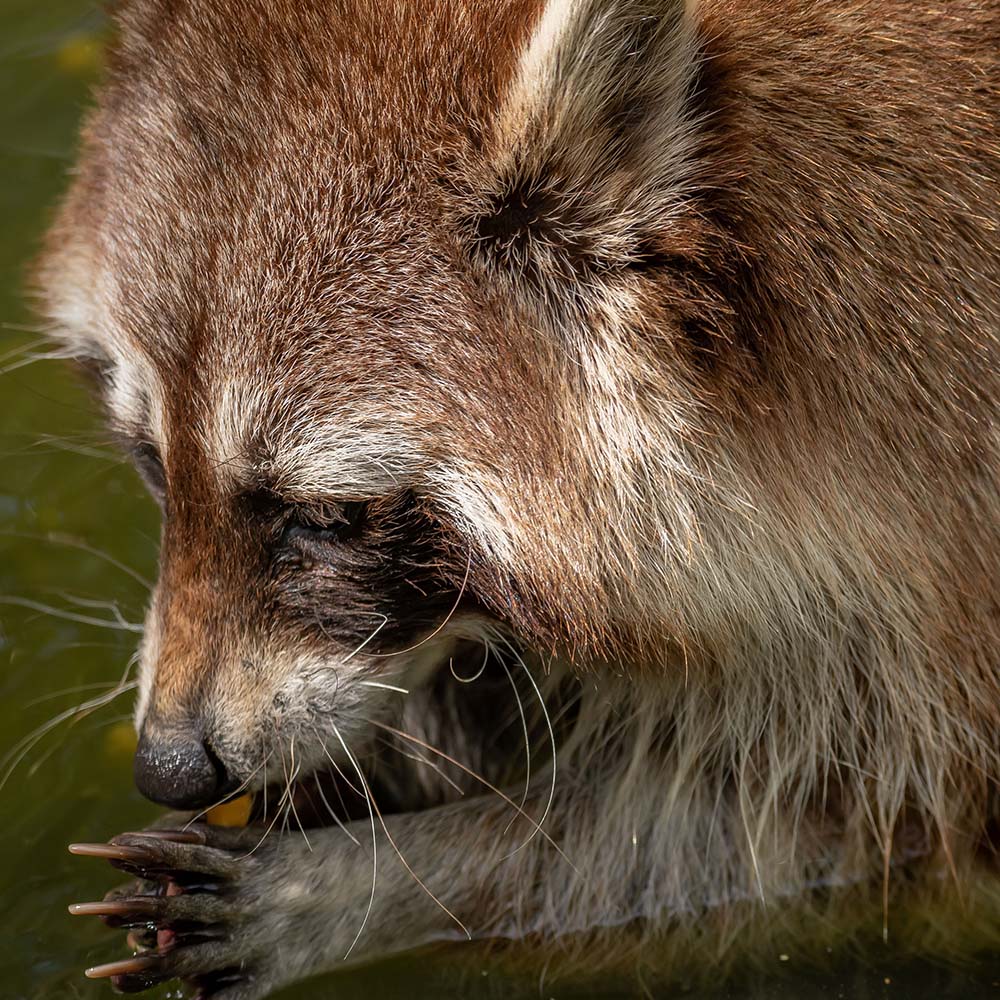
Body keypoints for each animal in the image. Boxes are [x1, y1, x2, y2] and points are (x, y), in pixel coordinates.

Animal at [38, 0, 1000, 997]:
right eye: (152, 464)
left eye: (329, 517)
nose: (170, 766)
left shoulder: (946, 559)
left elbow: (829, 836)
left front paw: (375, 881)